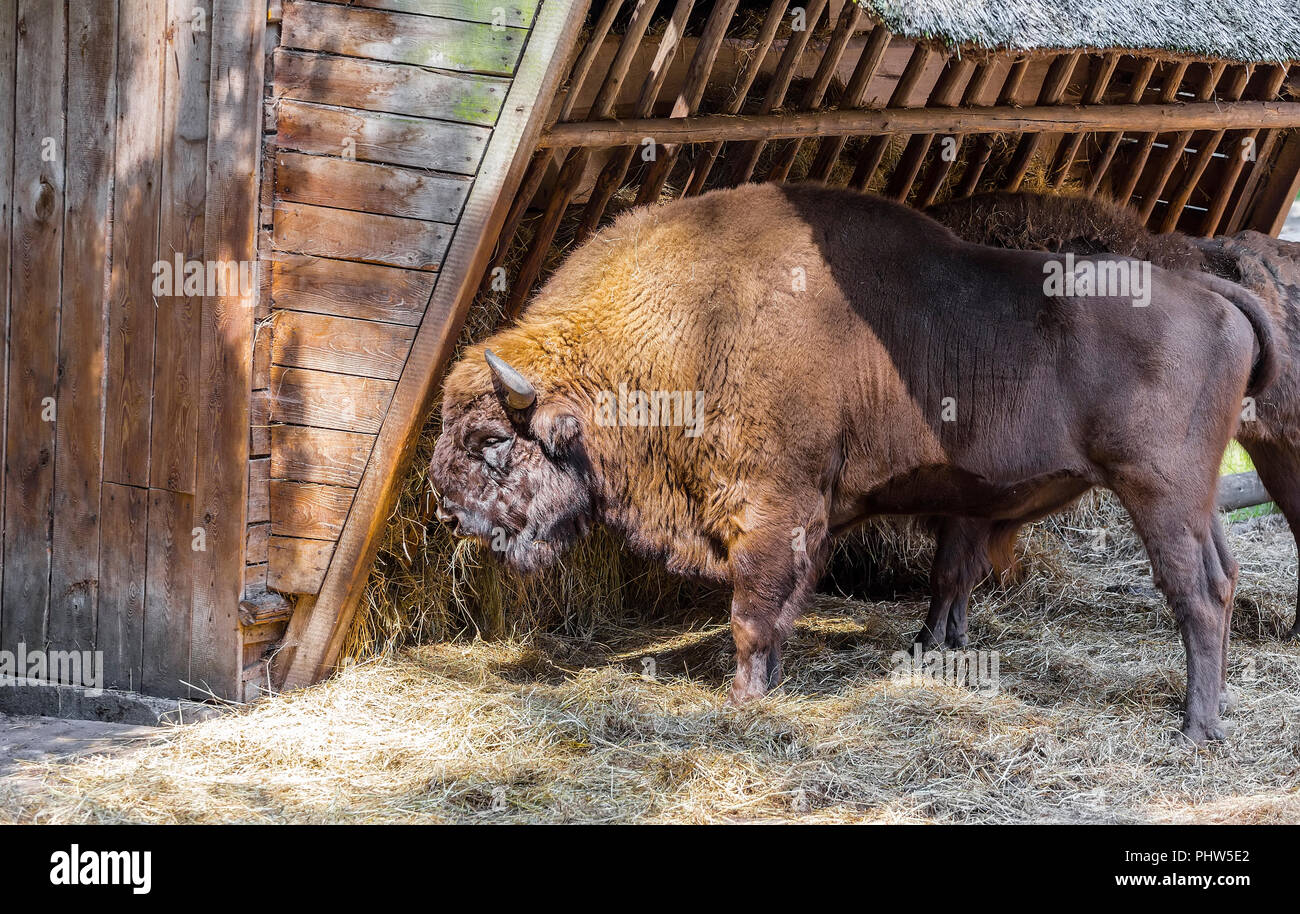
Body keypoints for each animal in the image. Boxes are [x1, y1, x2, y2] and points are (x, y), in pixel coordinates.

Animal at [430, 182, 1275, 743]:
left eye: (494, 440)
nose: (447, 509)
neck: (686, 327)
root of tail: (1210, 291)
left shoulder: (774, 513)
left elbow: (754, 614)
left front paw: (742, 701)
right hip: (1194, 502)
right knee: (1224, 576)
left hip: (1159, 493)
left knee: (1197, 594)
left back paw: (1196, 728)